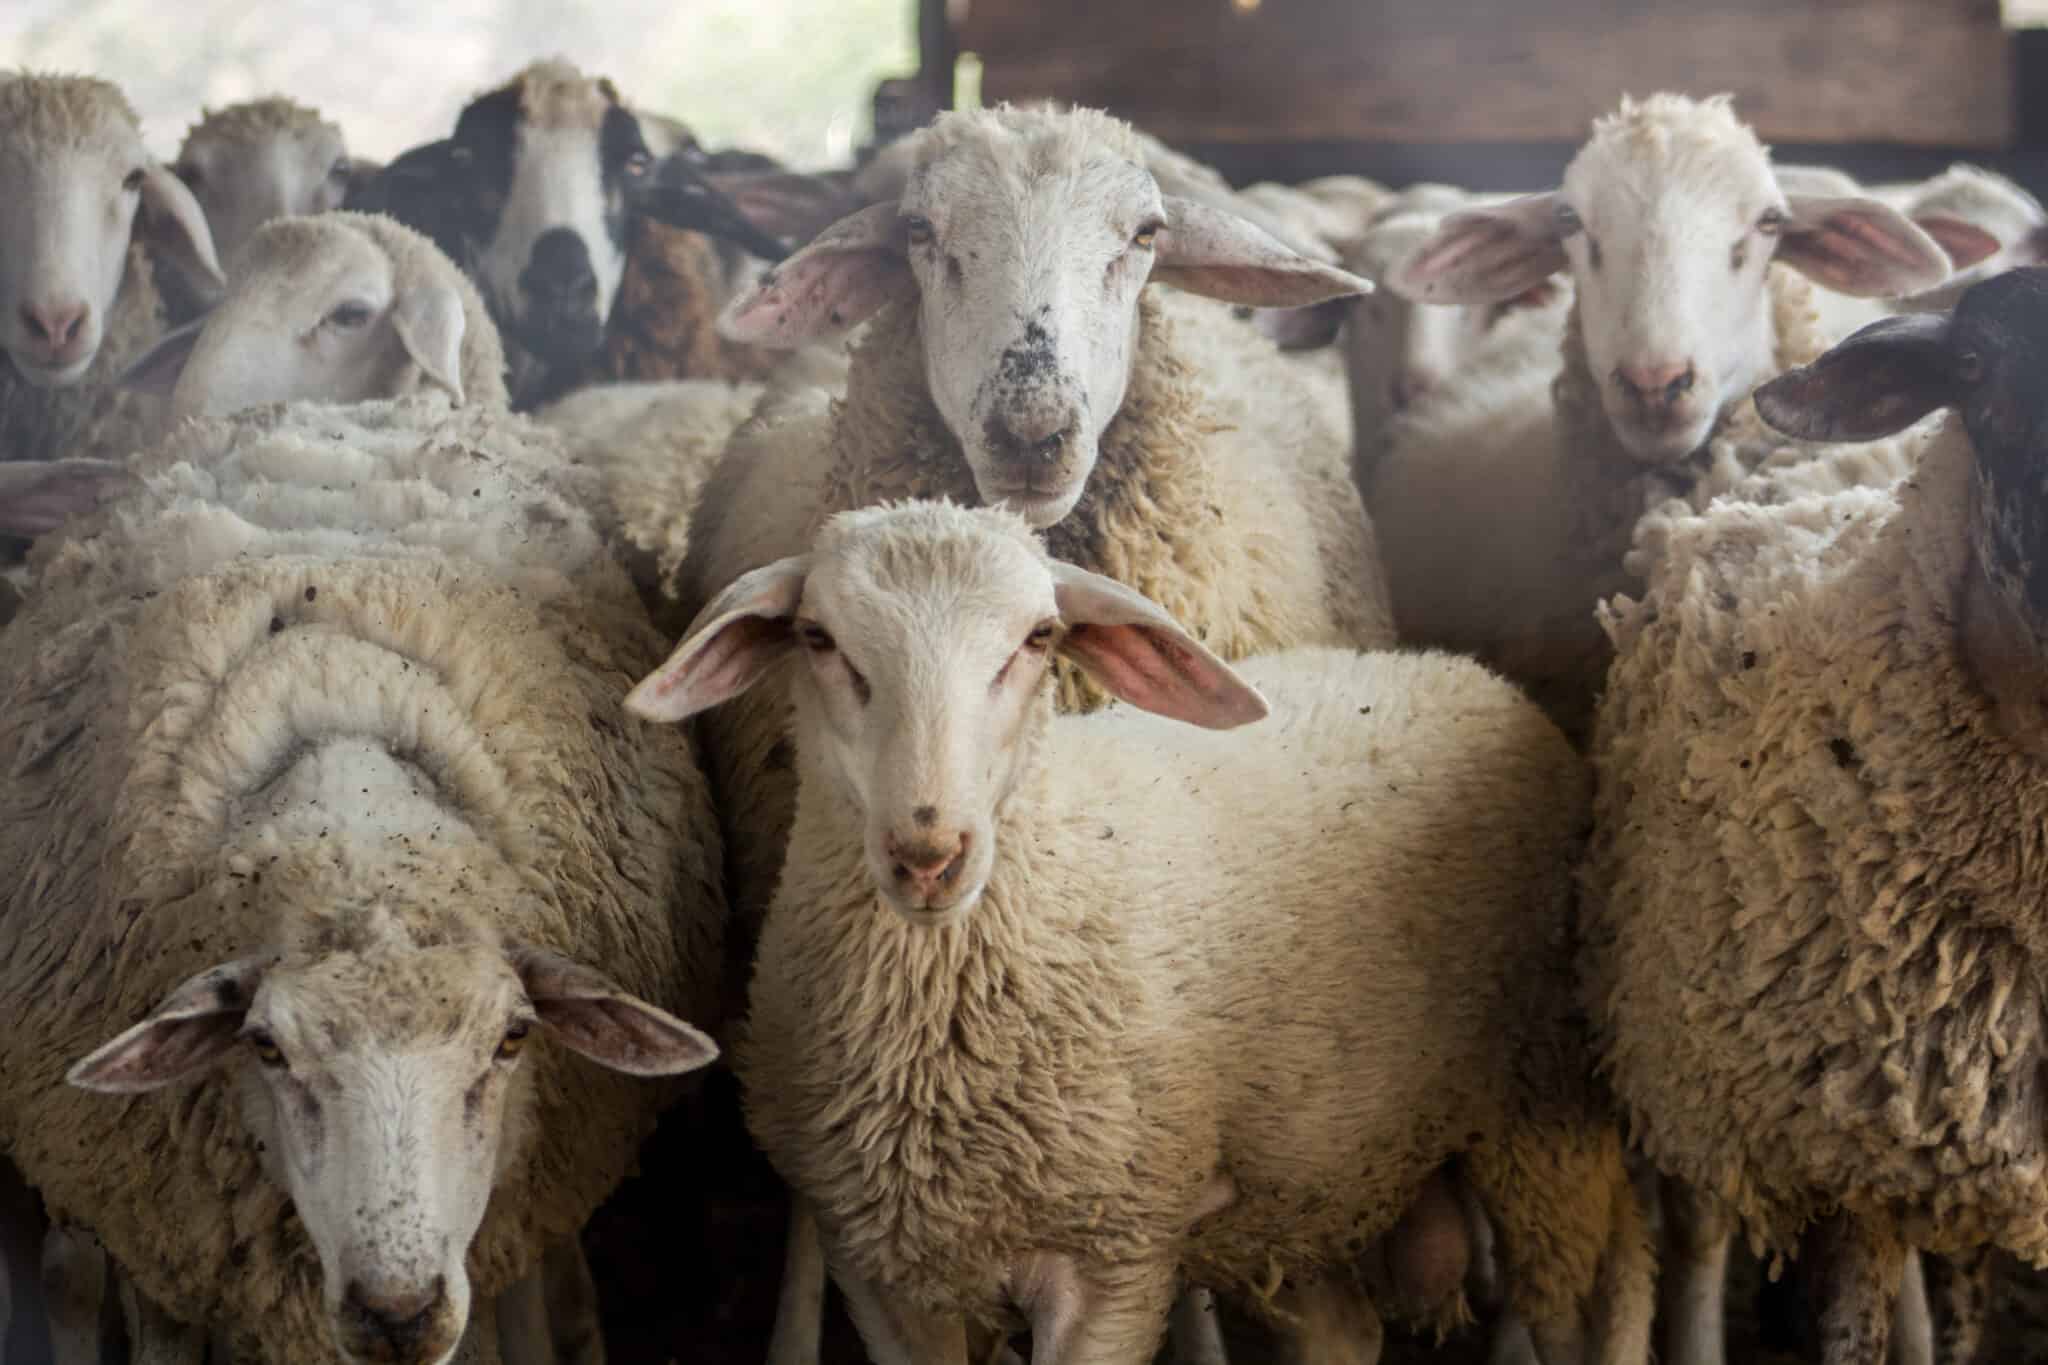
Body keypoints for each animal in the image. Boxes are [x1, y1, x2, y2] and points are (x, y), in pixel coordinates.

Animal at [628, 497, 1653, 1365]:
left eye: (1037, 638)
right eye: (817, 637)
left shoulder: (1111, 1257)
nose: (929, 852)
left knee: (1597, 1295)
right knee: (1344, 1331)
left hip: (1538, 1097)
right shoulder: (882, 1270)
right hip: (1305, 1177)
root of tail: (1451, 666)